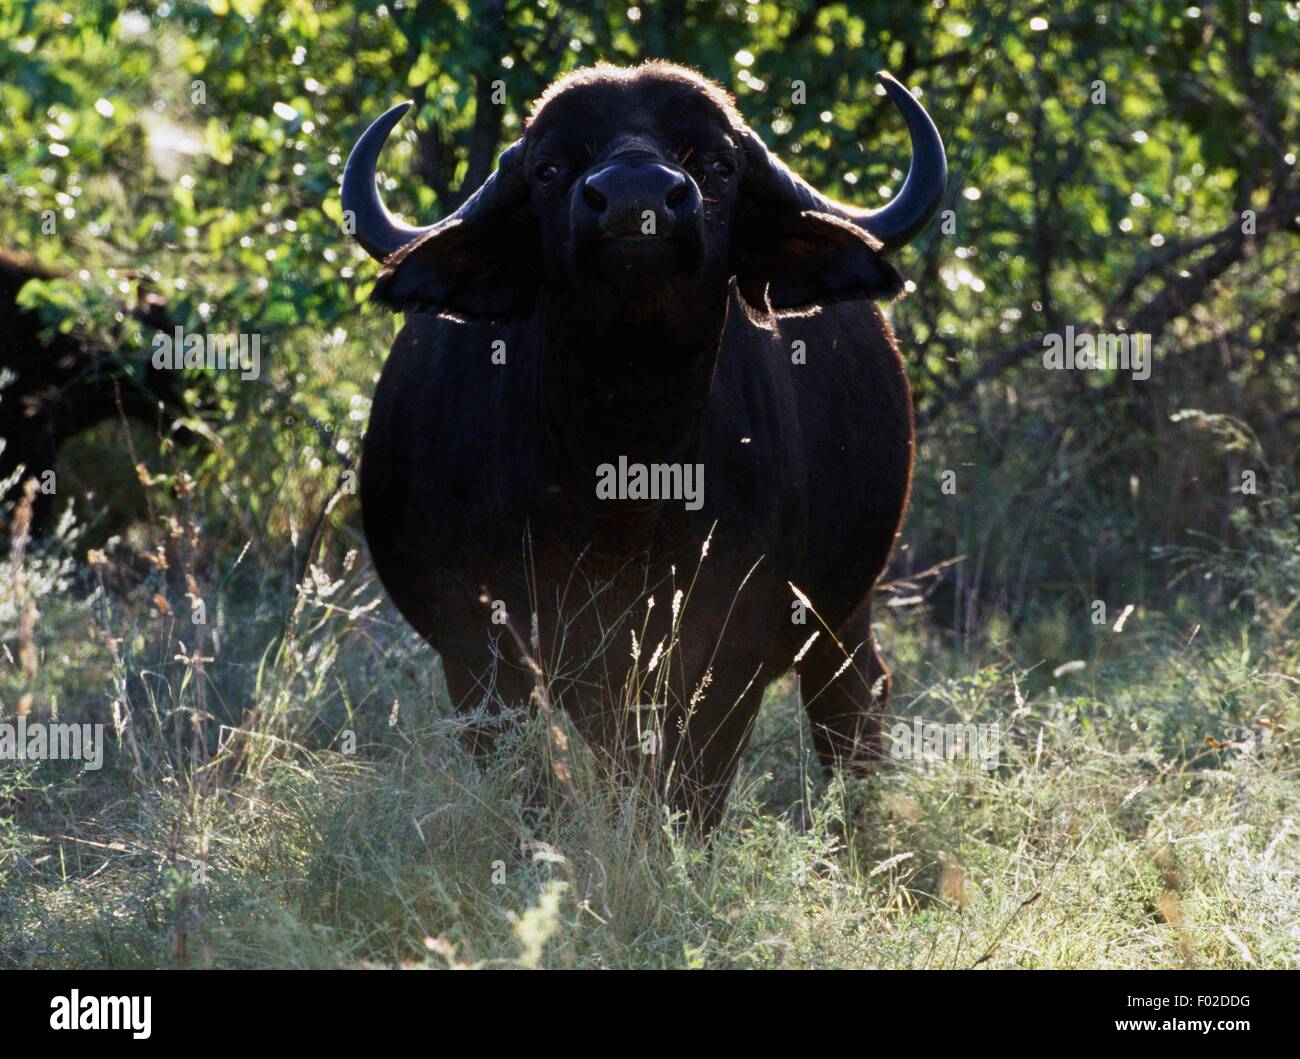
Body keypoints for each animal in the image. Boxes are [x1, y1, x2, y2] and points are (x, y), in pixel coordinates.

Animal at [342, 62, 946, 829]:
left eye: (717, 163)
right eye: (548, 168)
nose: (637, 199)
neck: (620, 486)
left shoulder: (731, 643)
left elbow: (691, 784)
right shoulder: (478, 643)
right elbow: (535, 781)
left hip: (845, 604)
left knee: (851, 702)